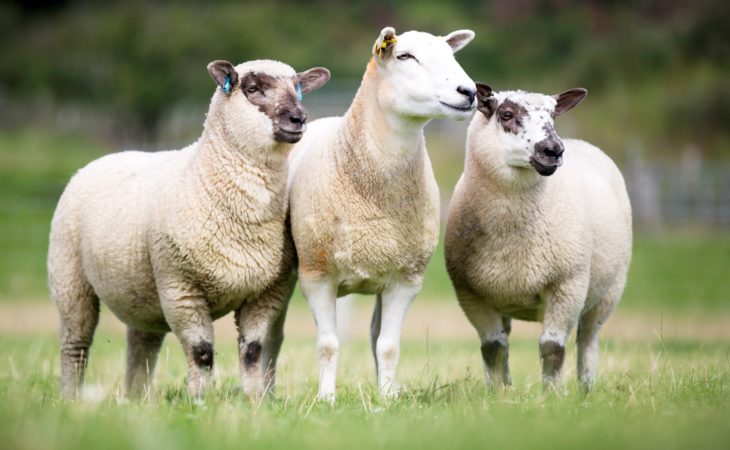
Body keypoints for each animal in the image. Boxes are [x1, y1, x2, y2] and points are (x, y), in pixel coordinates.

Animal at [47, 59, 330, 400]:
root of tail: (106, 157)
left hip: (142, 292)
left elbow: (253, 350)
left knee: (141, 345)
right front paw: (198, 401)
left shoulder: (266, 291)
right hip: (70, 278)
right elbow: (202, 352)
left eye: (298, 89)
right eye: (252, 89)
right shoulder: (180, 288)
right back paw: (70, 397)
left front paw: (253, 400)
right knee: (75, 344)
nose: (298, 118)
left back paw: (137, 399)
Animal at [284, 27, 477, 401]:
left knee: (375, 335)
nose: (470, 92)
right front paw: (326, 399)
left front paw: (387, 398)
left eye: (452, 56)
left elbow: (388, 346)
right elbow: (327, 344)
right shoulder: (317, 275)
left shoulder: (406, 279)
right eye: (405, 56)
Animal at [444, 84, 632, 391]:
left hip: (609, 290)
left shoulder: (567, 285)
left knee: (588, 340)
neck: (511, 235)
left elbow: (552, 348)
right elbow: (493, 348)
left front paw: (551, 396)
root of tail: (580, 142)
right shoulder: (471, 293)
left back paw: (585, 390)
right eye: (506, 114)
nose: (553, 150)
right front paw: (499, 394)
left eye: (553, 116)